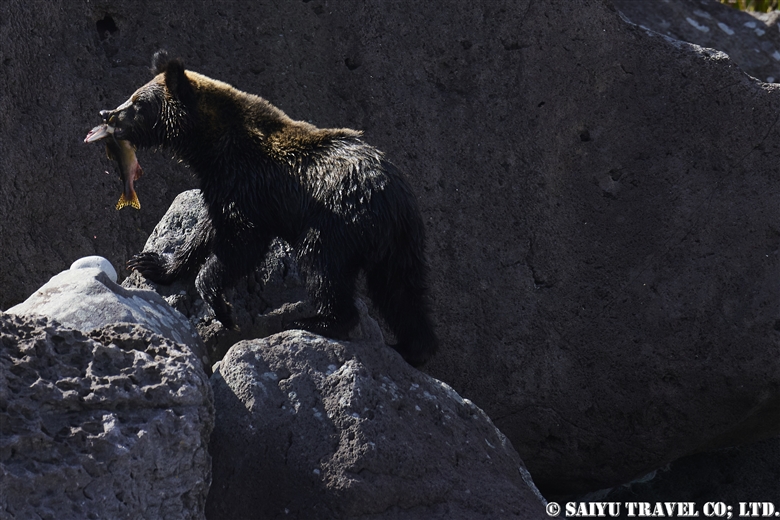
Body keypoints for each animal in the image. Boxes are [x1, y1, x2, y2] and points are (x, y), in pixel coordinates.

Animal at [95, 50, 437, 366]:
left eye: (137, 102)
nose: (107, 112)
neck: (210, 147)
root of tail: (390, 195)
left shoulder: (249, 185)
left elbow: (241, 243)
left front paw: (222, 306)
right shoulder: (224, 187)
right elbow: (204, 232)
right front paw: (151, 263)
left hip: (338, 220)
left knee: (323, 266)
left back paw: (316, 320)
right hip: (400, 241)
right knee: (401, 291)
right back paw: (412, 347)